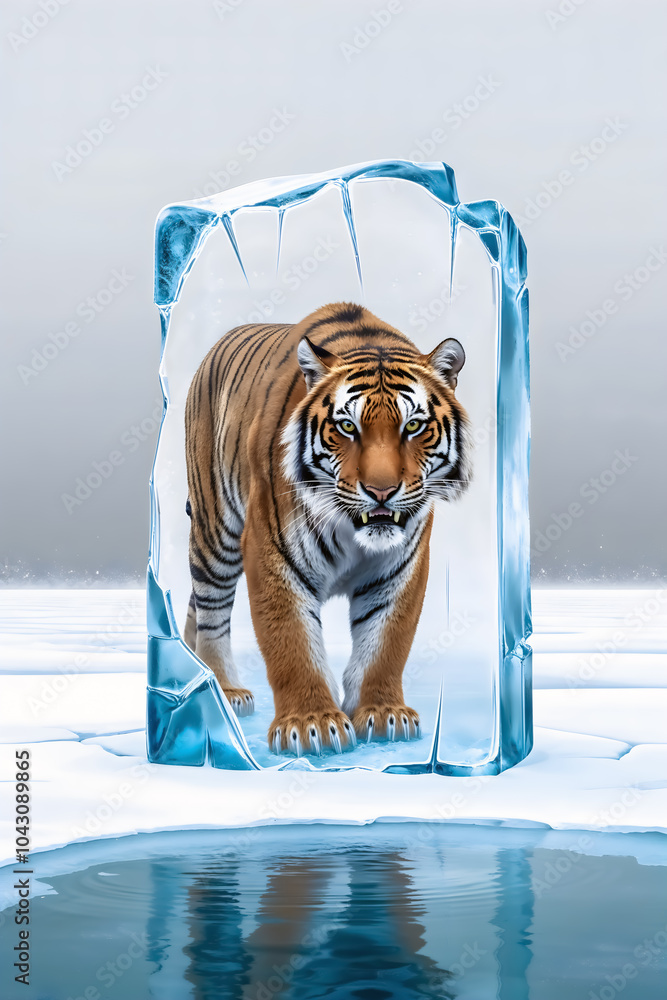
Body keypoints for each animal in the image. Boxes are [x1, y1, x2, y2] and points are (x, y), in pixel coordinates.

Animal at [183, 302, 471, 757]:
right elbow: (292, 641)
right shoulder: (271, 551)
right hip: (217, 531)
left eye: (413, 426)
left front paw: (384, 714)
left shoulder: (401, 566)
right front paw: (310, 725)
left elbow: (385, 640)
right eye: (347, 427)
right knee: (212, 609)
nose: (381, 491)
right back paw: (224, 692)